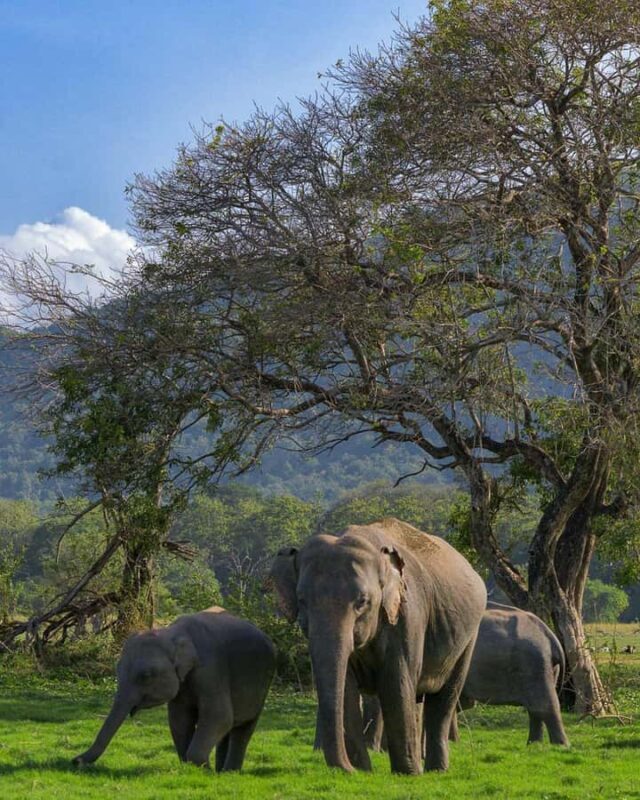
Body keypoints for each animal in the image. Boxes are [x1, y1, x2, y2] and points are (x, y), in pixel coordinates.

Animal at [73, 606, 276, 770]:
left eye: (145, 676)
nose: (75, 761)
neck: (172, 633)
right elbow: (179, 719)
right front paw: (193, 766)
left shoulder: (212, 670)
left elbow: (219, 716)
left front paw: (203, 769)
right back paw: (221, 771)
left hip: (263, 685)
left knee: (243, 729)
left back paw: (228, 772)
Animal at [270, 517, 486, 775]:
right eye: (302, 601)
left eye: (362, 602)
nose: (348, 770)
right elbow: (347, 689)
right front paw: (363, 770)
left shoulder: (408, 614)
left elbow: (396, 682)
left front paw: (407, 774)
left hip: (469, 636)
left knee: (444, 699)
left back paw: (435, 770)